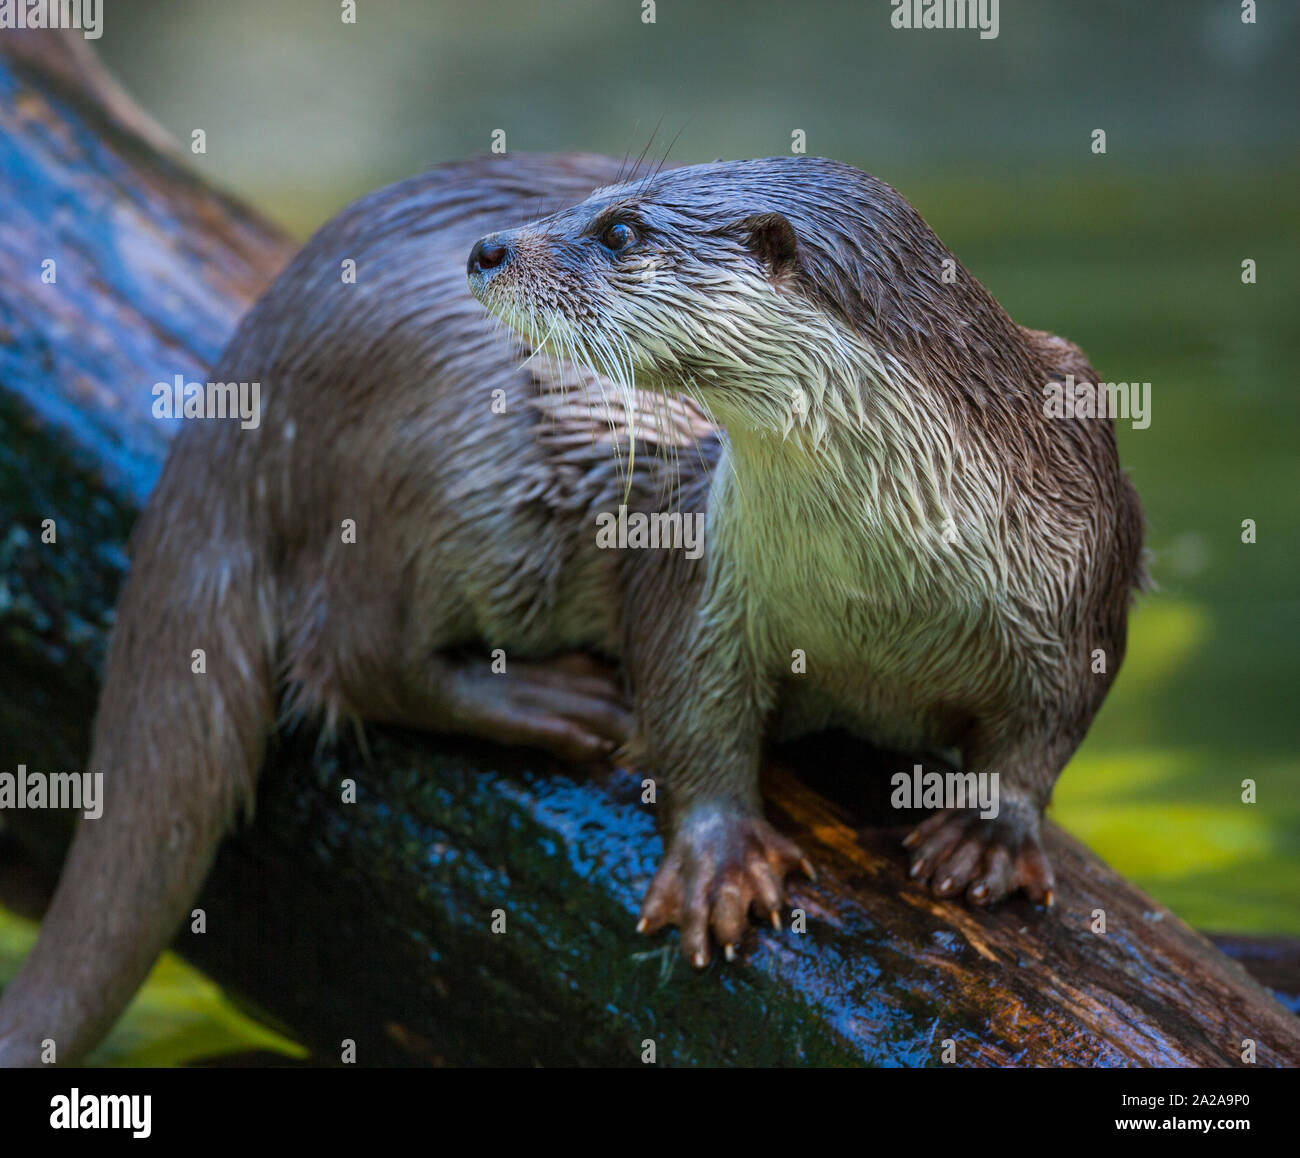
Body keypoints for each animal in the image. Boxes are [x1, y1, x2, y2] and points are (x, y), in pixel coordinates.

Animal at [0, 153, 1144, 1066]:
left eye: (622, 230)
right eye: (594, 201)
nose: (488, 247)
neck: (889, 578)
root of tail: (260, 361)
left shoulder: (1082, 561)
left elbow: (1053, 722)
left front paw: (992, 830)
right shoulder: (702, 568)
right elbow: (688, 701)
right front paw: (718, 858)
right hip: (453, 467)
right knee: (351, 652)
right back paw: (548, 704)